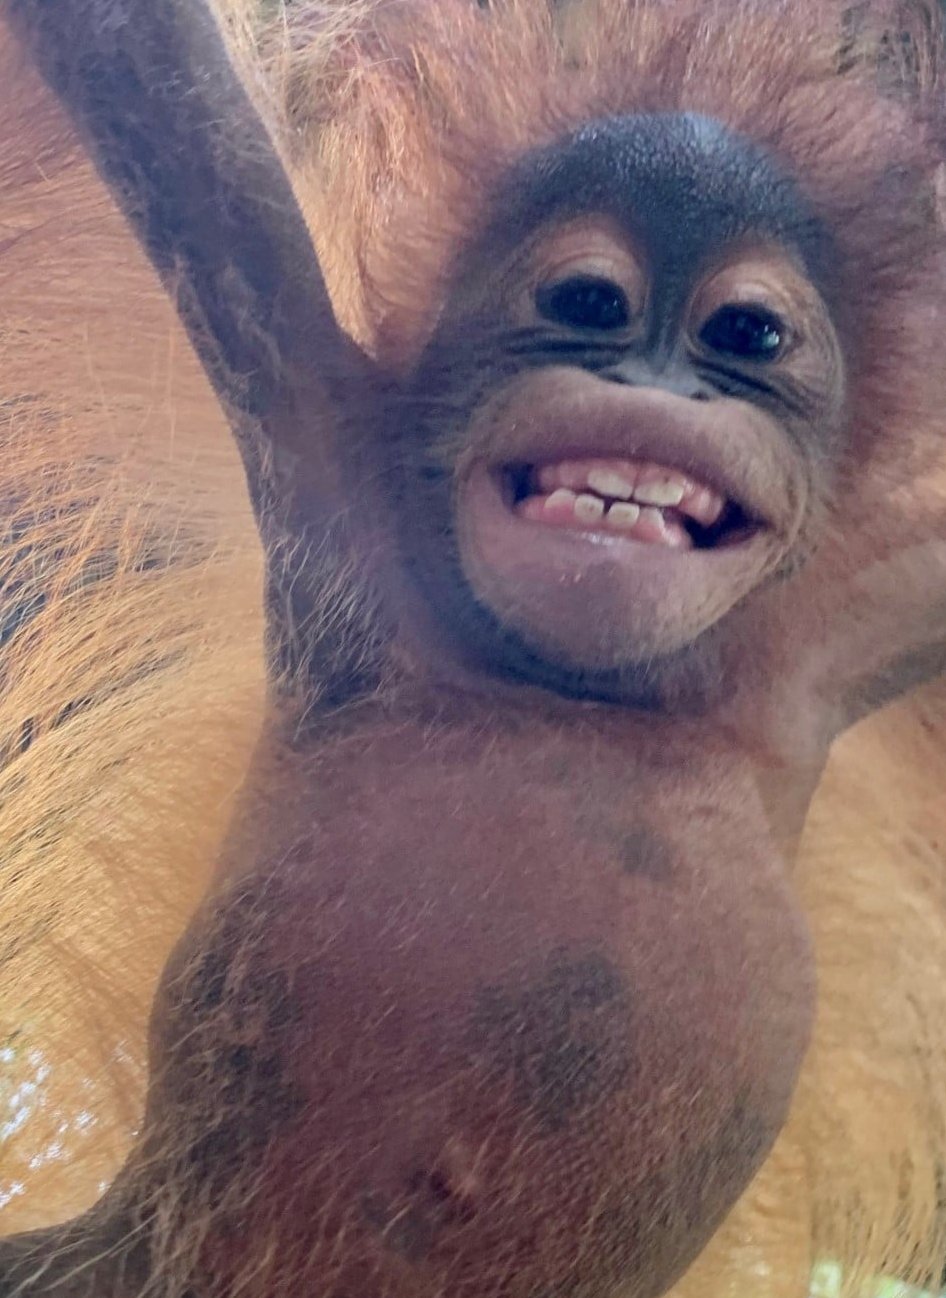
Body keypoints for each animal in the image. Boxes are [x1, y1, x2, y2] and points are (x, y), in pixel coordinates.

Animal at [0, 1, 945, 1297]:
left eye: (745, 333)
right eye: (590, 305)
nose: (654, 388)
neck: (582, 686)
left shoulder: (841, 631)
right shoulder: (321, 453)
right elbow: (143, 83)